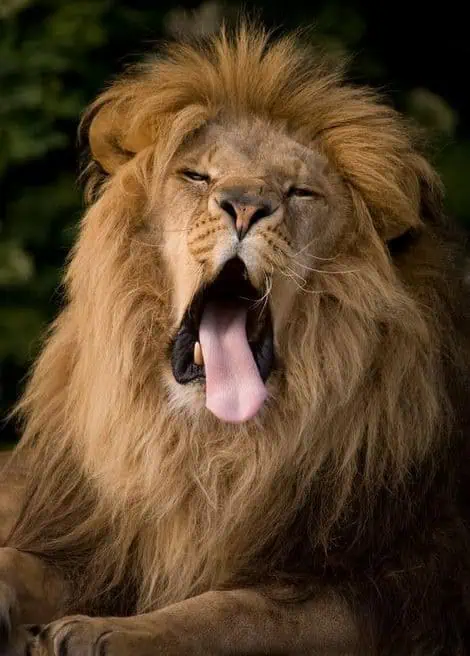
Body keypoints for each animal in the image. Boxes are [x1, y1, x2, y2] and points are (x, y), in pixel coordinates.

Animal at [1, 24, 470, 655]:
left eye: (300, 193)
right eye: (197, 176)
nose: (245, 206)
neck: (208, 452)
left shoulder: (376, 588)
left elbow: (233, 612)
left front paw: (103, 631)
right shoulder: (88, 542)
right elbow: (19, 559)